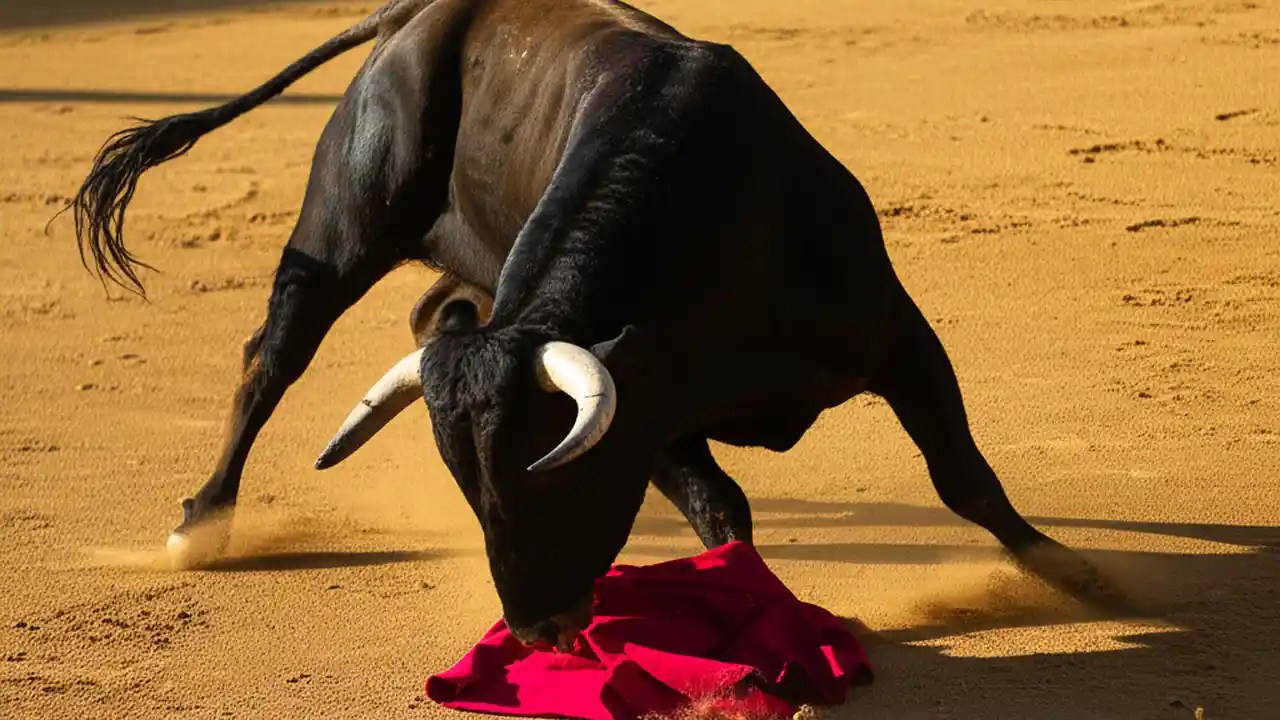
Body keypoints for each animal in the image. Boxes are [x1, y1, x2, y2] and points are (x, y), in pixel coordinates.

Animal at [68, 0, 1124, 649]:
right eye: (470, 493)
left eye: (545, 478)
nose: (540, 631)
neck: (716, 215)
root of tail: (414, 17)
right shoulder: (651, 407)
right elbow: (721, 508)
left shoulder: (897, 338)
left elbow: (964, 476)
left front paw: (1081, 579)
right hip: (339, 232)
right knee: (273, 358)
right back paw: (201, 523)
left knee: (414, 317)